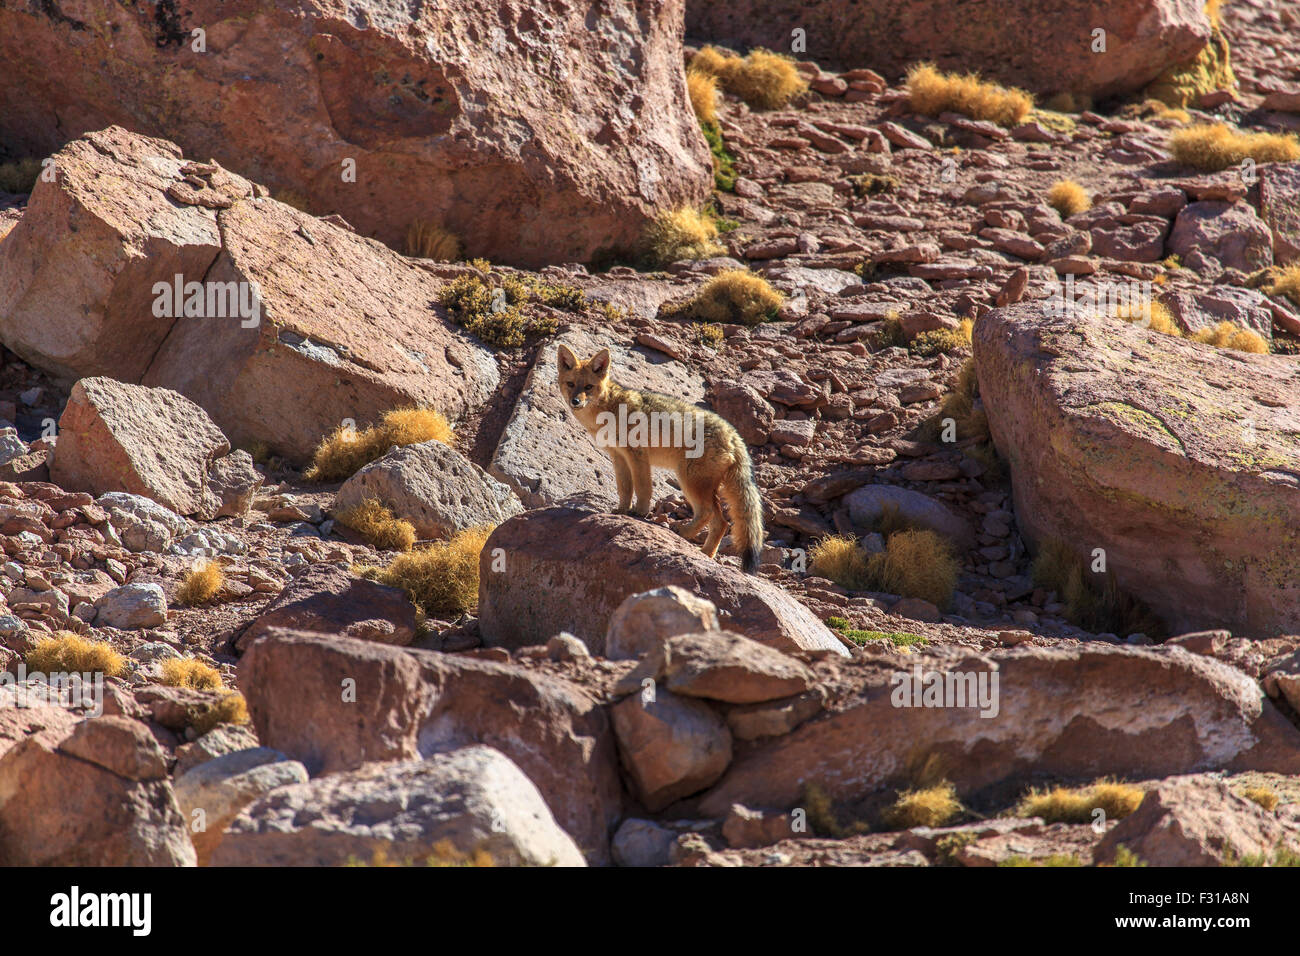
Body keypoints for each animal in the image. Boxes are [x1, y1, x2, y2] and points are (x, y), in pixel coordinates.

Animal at [556, 344, 765, 573]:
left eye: (588, 387)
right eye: (571, 384)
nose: (575, 401)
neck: (608, 409)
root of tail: (734, 434)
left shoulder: (637, 455)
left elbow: (643, 488)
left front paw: (639, 512)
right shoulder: (618, 456)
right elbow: (625, 488)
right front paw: (621, 511)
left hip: (688, 480)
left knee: (709, 513)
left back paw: (683, 531)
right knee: (722, 523)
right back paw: (705, 554)